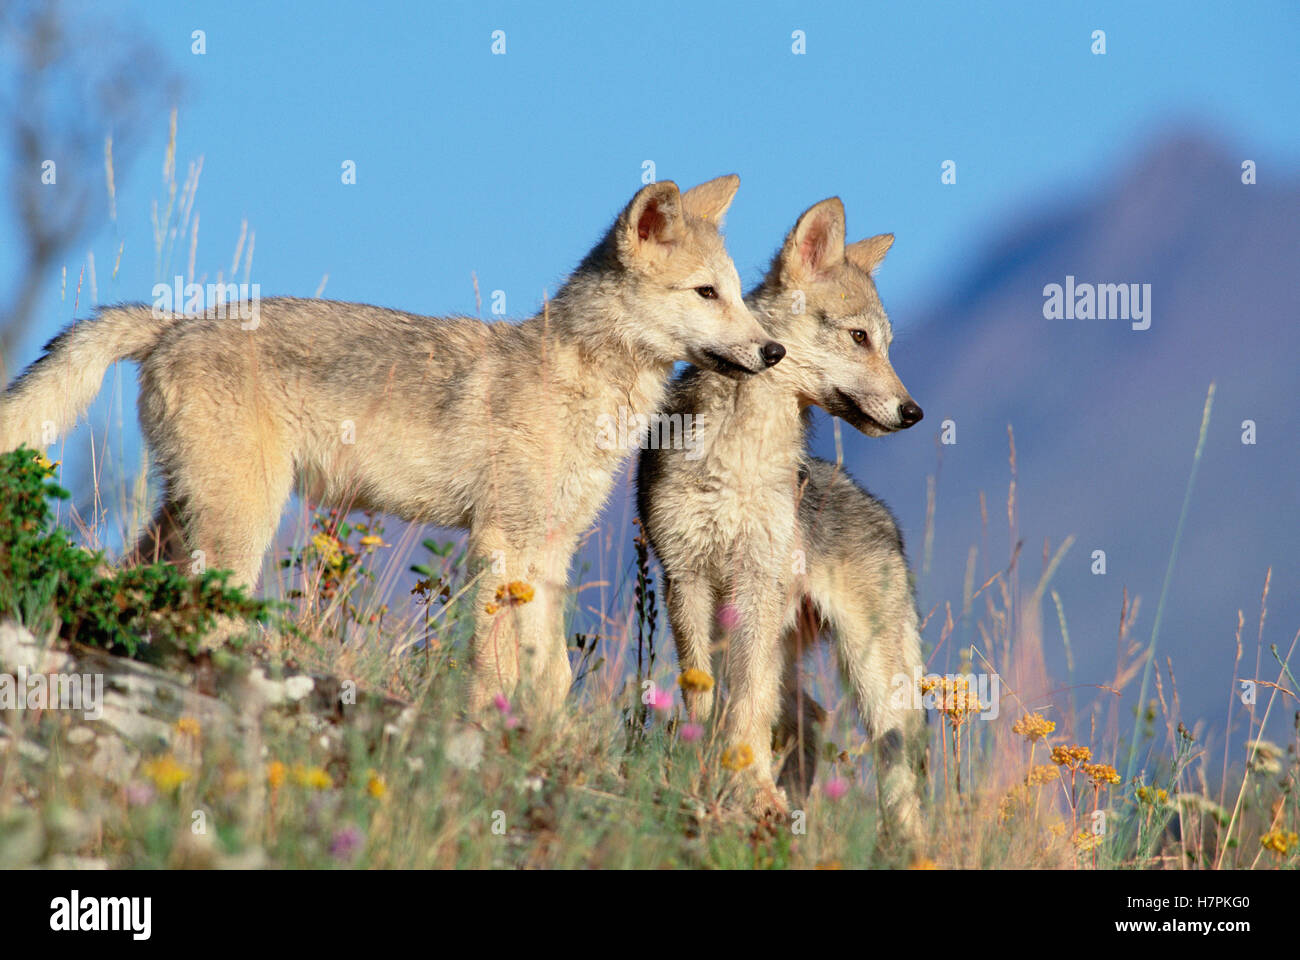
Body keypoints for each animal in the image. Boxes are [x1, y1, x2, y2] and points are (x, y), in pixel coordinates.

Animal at [0, 175, 783, 718]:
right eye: (707, 293)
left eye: (737, 293)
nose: (773, 351)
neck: (588, 392)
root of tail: (172, 322)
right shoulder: (498, 540)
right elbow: (496, 669)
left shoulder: (549, 554)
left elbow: (553, 678)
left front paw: (547, 744)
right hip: (240, 528)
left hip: (192, 519)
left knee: (129, 584)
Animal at [636, 197, 924, 839]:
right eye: (860, 337)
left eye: (889, 345)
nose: (914, 412)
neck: (736, 459)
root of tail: (887, 519)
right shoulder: (685, 578)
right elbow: (705, 693)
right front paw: (709, 776)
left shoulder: (756, 584)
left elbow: (745, 703)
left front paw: (750, 791)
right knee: (806, 719)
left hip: (869, 671)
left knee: (892, 756)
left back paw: (901, 843)